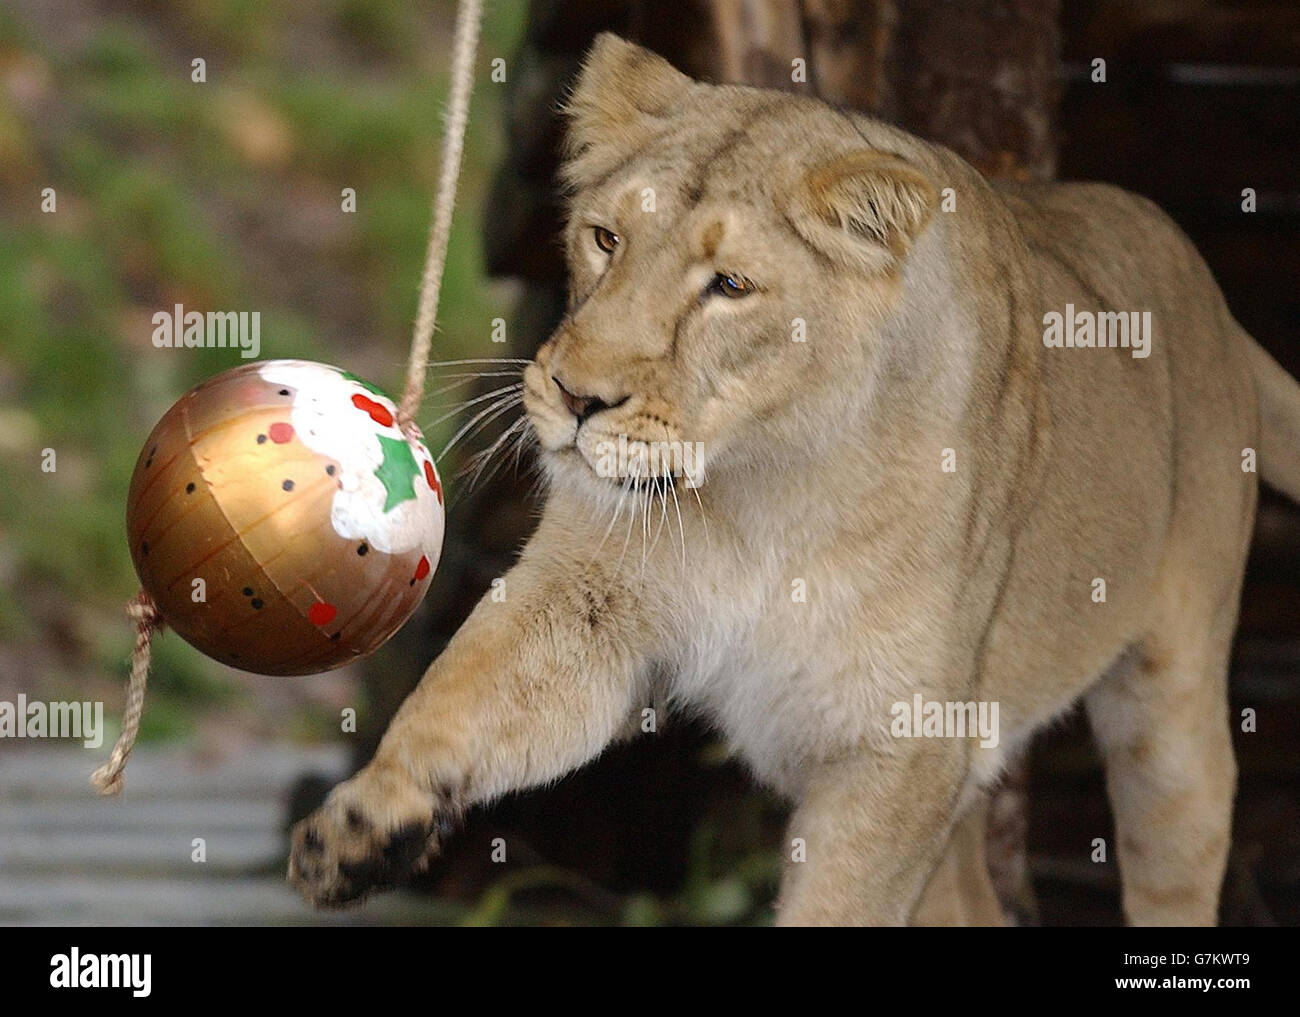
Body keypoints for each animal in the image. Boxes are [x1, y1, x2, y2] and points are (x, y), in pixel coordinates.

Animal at [288, 34, 1300, 925]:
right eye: (606, 238)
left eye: (730, 286)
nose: (576, 398)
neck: (762, 486)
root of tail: (1211, 294)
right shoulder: (590, 596)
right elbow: (463, 695)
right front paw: (366, 823)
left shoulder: (900, 743)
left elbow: (840, 904)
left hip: (1168, 715)